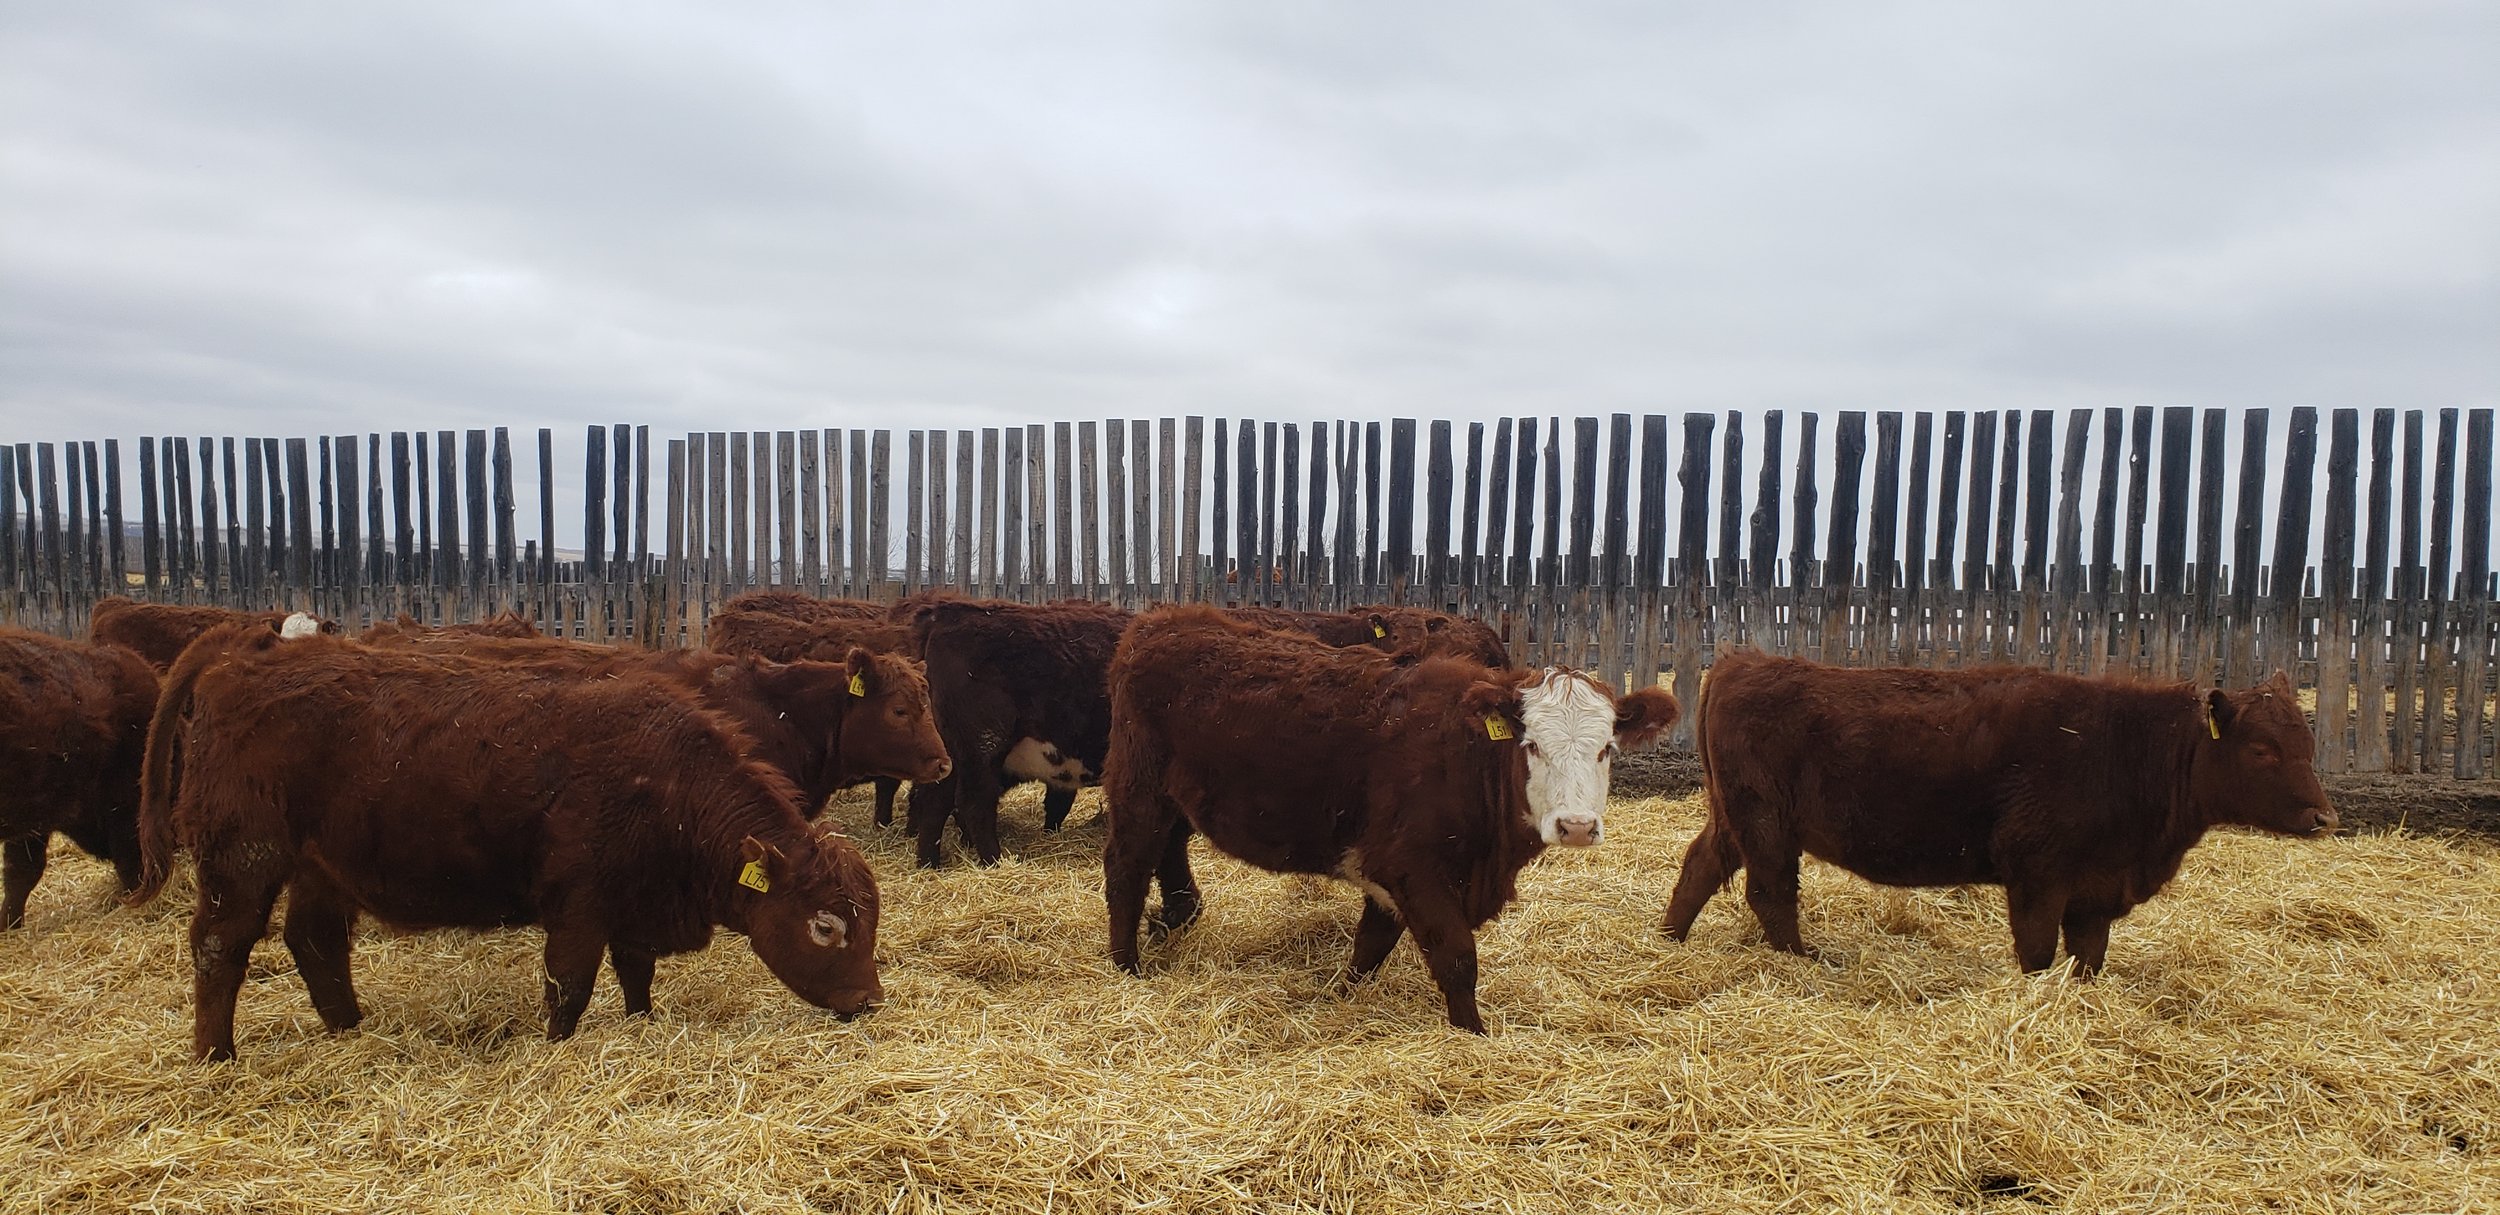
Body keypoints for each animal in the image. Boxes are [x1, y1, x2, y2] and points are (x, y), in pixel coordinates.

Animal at [129, 623, 886, 1062]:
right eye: (826, 925)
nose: (870, 999)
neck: (664, 775)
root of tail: (243, 656)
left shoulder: (634, 902)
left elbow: (637, 974)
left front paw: (641, 1021)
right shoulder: (577, 909)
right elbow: (568, 988)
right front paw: (555, 1051)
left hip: (321, 866)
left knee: (314, 942)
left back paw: (350, 1028)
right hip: (243, 859)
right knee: (219, 946)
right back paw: (216, 1055)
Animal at [906, 598, 1132, 866]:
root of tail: (944, 614)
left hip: (949, 752)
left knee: (935, 800)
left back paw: (929, 864)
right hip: (981, 749)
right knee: (974, 802)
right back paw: (993, 861)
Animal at [1102, 606, 1679, 1031]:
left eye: (1606, 749)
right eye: (1532, 745)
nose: (1576, 826)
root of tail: (1160, 621)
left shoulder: (1389, 875)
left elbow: (1370, 945)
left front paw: (1339, 997)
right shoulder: (1412, 867)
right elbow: (1456, 958)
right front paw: (1472, 1037)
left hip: (1176, 801)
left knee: (1169, 852)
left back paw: (1171, 921)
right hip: (1138, 790)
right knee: (1127, 869)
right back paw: (1127, 968)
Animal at [1663, 651, 2339, 975]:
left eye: (2308, 742)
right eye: (2263, 749)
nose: (2324, 818)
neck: (2123, 747)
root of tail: (1742, 662)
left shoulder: (2095, 892)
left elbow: (2087, 960)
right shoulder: (2038, 876)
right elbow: (2037, 953)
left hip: (1734, 820)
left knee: (1699, 868)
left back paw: (1671, 939)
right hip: (1766, 825)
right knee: (1772, 893)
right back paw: (1801, 961)